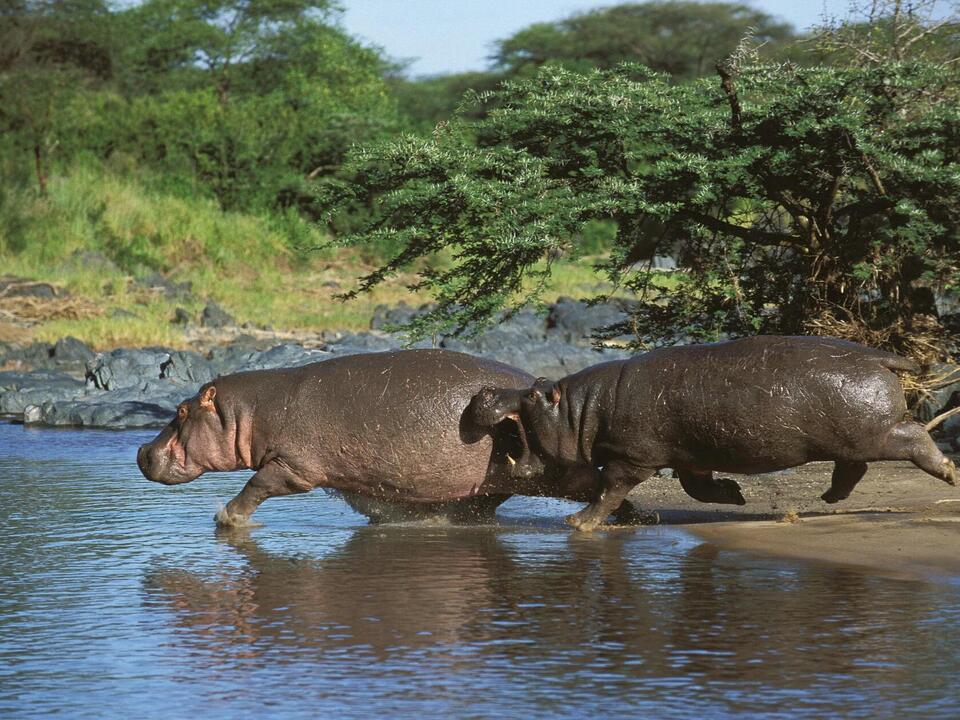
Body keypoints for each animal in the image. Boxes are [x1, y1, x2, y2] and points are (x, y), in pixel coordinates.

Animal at [468, 336, 959, 532]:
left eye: (533, 393)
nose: (486, 391)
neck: (581, 411)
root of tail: (880, 357)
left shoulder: (632, 458)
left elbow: (608, 490)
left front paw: (578, 523)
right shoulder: (691, 456)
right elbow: (698, 488)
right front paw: (736, 496)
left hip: (876, 432)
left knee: (914, 438)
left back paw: (949, 472)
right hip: (850, 436)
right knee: (852, 468)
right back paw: (829, 498)